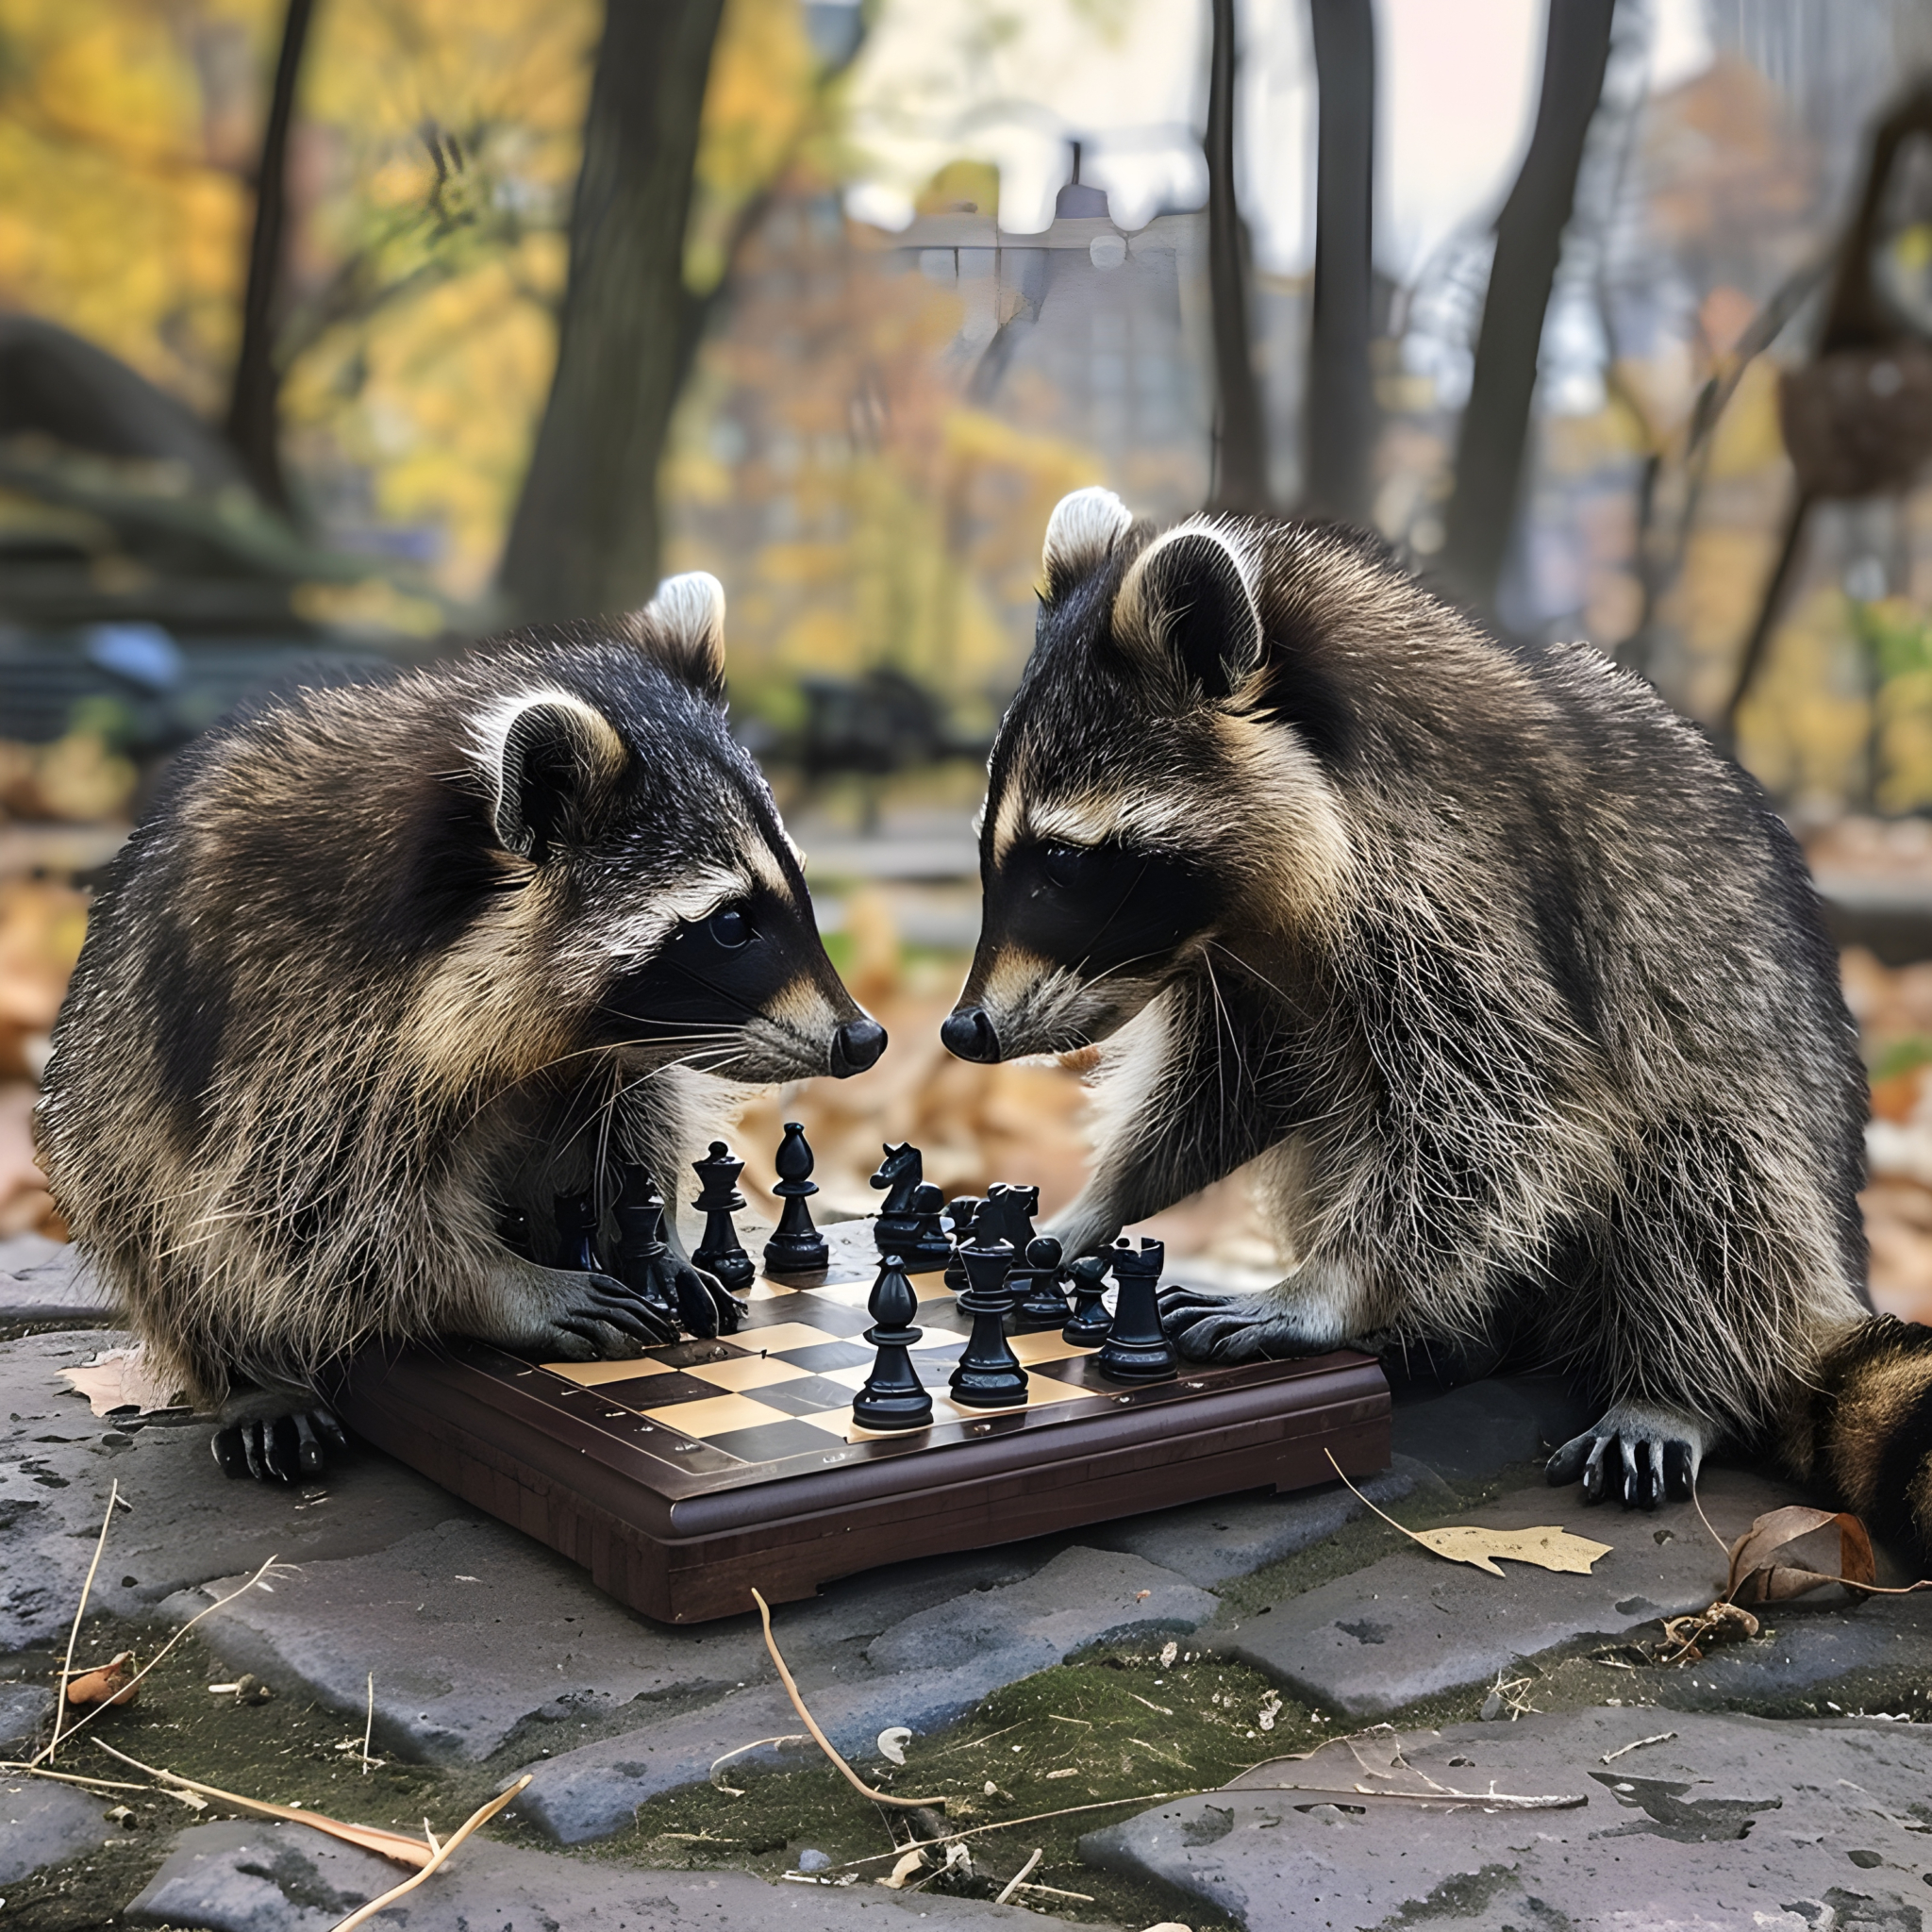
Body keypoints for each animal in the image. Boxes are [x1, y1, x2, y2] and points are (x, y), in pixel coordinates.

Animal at [35, 574, 884, 1478]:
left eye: (796, 886)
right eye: (731, 923)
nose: (863, 1039)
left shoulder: (598, 1047)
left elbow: (616, 1129)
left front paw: (652, 1239)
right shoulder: (299, 1013)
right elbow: (303, 1212)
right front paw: (491, 1286)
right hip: (110, 1095)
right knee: (167, 1230)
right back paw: (248, 1373)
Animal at [943, 487, 1932, 1552]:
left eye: (1062, 862)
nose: (964, 1032)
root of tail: (1828, 1297)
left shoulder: (1459, 884)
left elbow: (1510, 1108)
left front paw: (1329, 1286)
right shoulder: (1241, 968)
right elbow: (1231, 1092)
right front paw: (1100, 1199)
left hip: (1771, 1182)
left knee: (1697, 1165)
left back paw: (1674, 1384)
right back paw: (1452, 1337)